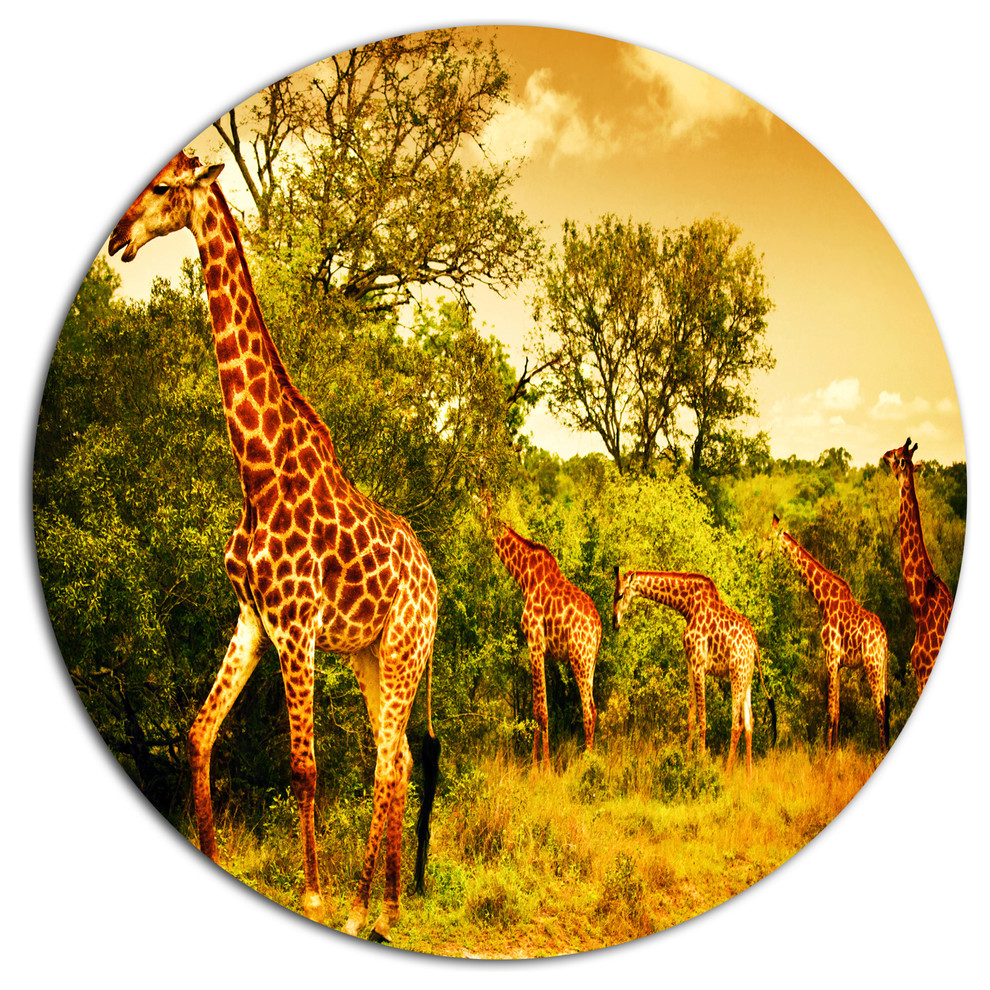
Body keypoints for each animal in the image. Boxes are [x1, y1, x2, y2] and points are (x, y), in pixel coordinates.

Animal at [107, 150, 440, 942]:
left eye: (163, 187)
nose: (116, 241)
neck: (257, 470)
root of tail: (437, 582)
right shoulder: (252, 620)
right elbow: (198, 737)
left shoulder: (296, 626)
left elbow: (304, 767)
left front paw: (314, 899)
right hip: (372, 655)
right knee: (397, 757)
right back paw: (386, 907)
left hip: (404, 649)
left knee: (384, 763)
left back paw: (358, 908)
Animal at [478, 491, 600, 766]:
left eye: (480, 504)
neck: (523, 574)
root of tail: (598, 628)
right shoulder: (540, 648)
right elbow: (536, 708)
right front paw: (536, 762)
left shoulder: (535, 642)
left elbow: (541, 710)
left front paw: (542, 766)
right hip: (590, 661)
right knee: (594, 708)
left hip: (579, 658)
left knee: (588, 710)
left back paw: (587, 763)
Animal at [612, 568, 775, 777]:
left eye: (620, 594)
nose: (614, 622)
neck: (687, 605)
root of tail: (754, 645)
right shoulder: (690, 663)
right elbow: (690, 718)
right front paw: (688, 760)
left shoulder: (699, 664)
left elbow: (703, 719)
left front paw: (701, 763)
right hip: (747, 678)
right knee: (749, 722)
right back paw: (749, 775)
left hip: (736, 675)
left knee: (737, 723)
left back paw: (727, 772)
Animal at [759, 514, 889, 750]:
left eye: (768, 538)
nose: (759, 554)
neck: (824, 601)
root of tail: (884, 640)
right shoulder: (839, 663)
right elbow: (837, 710)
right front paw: (834, 750)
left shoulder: (830, 657)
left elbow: (830, 710)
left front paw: (826, 753)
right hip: (882, 667)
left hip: (872, 666)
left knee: (880, 707)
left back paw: (882, 749)